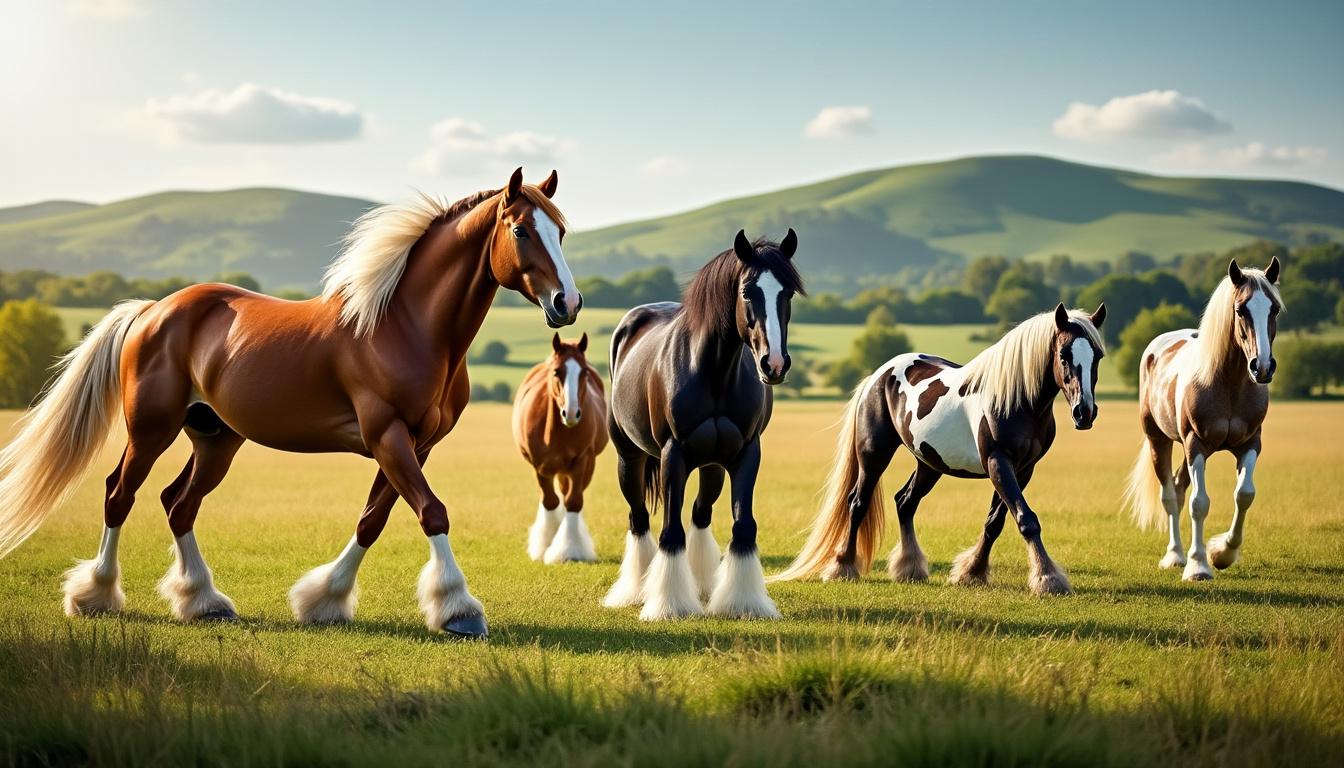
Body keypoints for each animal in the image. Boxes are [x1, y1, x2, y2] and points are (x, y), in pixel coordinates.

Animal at [0, 168, 579, 639]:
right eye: (522, 230)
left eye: (562, 231)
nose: (567, 303)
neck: (406, 327)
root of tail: (152, 310)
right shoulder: (387, 435)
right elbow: (432, 512)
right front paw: (459, 611)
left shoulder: (417, 445)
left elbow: (373, 520)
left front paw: (324, 600)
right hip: (150, 429)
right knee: (120, 495)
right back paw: (94, 594)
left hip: (216, 438)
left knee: (178, 503)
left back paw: (203, 602)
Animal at [514, 332, 608, 564]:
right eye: (557, 372)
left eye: (584, 372)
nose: (571, 413)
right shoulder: (540, 466)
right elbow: (550, 501)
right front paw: (546, 543)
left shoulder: (582, 461)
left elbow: (573, 501)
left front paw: (569, 549)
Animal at [602, 229, 804, 620]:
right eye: (747, 292)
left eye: (786, 292)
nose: (773, 364)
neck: (713, 372)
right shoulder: (674, 455)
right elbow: (670, 532)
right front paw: (668, 605)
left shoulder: (745, 454)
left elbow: (743, 526)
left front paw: (743, 602)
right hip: (629, 459)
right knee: (639, 519)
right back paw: (636, 590)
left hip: (712, 466)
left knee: (700, 515)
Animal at [776, 303, 1107, 596]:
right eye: (1063, 355)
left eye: (1098, 356)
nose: (1084, 412)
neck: (1016, 401)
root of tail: (878, 376)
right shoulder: (998, 461)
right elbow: (1026, 520)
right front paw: (1048, 578)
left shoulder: (1024, 469)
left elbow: (996, 522)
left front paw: (972, 572)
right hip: (874, 455)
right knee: (858, 502)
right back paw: (843, 566)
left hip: (929, 464)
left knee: (905, 502)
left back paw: (910, 567)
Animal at [1125, 258, 1282, 582]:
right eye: (1240, 309)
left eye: (1274, 308)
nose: (1262, 367)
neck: (1228, 385)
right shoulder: (1195, 444)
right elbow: (1199, 503)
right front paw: (1198, 565)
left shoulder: (1250, 444)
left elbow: (1244, 495)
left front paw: (1222, 553)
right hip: (1160, 441)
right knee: (1170, 495)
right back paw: (1175, 555)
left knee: (1178, 487)